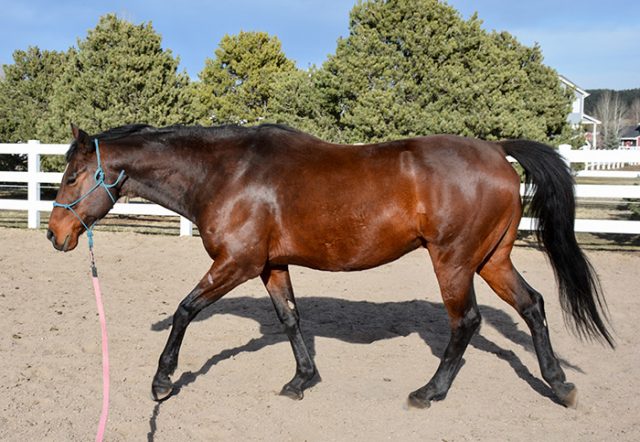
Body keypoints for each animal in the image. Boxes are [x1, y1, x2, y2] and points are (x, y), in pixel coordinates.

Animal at [47, 123, 613, 409]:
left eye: (73, 176)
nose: (56, 234)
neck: (227, 173)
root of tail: (495, 150)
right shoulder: (270, 265)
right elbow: (291, 318)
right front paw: (303, 379)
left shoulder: (237, 262)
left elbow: (186, 310)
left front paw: (162, 381)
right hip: (492, 259)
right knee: (532, 306)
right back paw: (559, 385)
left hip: (453, 260)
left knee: (465, 322)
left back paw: (429, 392)